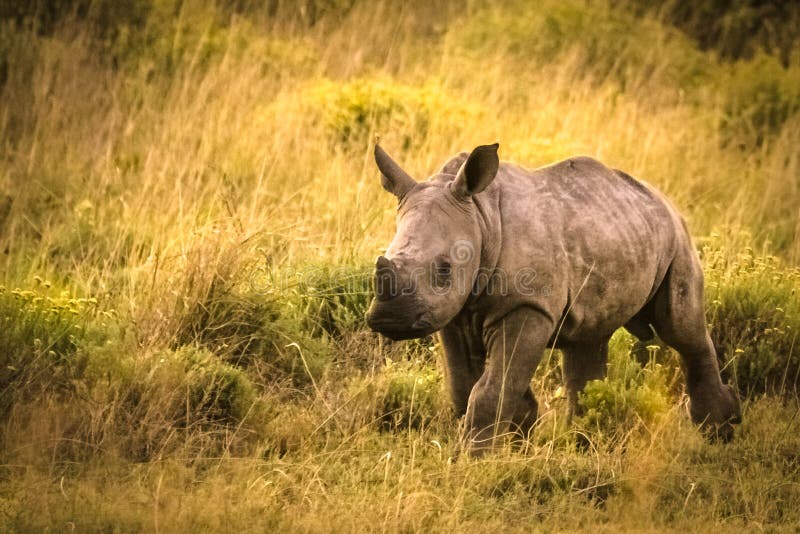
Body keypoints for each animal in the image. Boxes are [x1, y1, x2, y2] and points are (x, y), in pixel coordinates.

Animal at [365, 142, 742, 455]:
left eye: (444, 269)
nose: (390, 319)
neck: (481, 217)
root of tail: (664, 198)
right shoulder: (456, 312)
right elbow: (465, 384)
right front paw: (518, 437)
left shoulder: (528, 306)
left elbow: (493, 385)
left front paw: (477, 456)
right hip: (619, 232)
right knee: (588, 340)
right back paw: (586, 442)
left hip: (677, 238)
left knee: (681, 330)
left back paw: (719, 431)